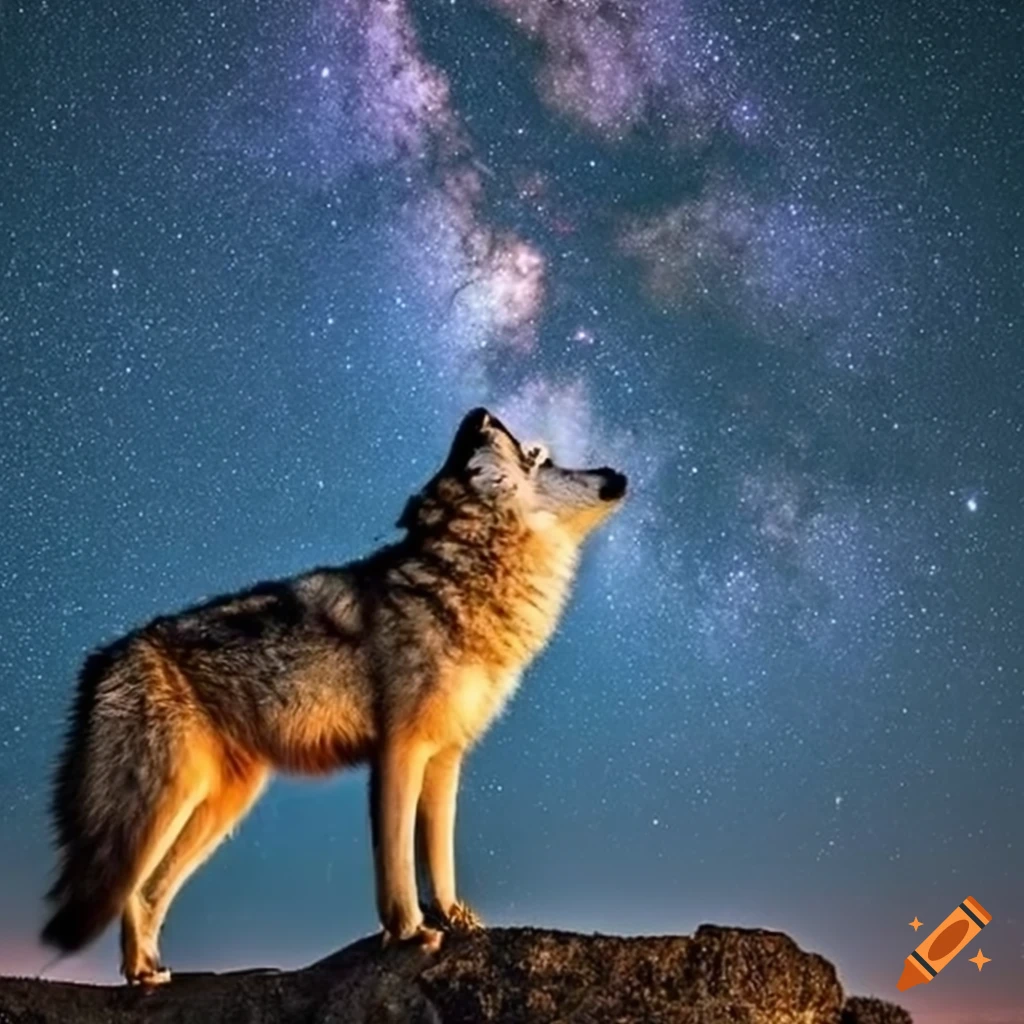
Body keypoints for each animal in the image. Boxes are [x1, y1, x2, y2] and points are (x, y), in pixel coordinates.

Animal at [41, 407, 627, 985]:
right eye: (538, 456)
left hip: (222, 805)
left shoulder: (446, 757)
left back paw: (146, 972)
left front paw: (455, 919)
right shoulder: (399, 750)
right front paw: (410, 932)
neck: (464, 579)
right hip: (166, 802)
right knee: (129, 888)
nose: (478, 413)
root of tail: (107, 655)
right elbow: (397, 861)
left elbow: (439, 860)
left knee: (144, 892)